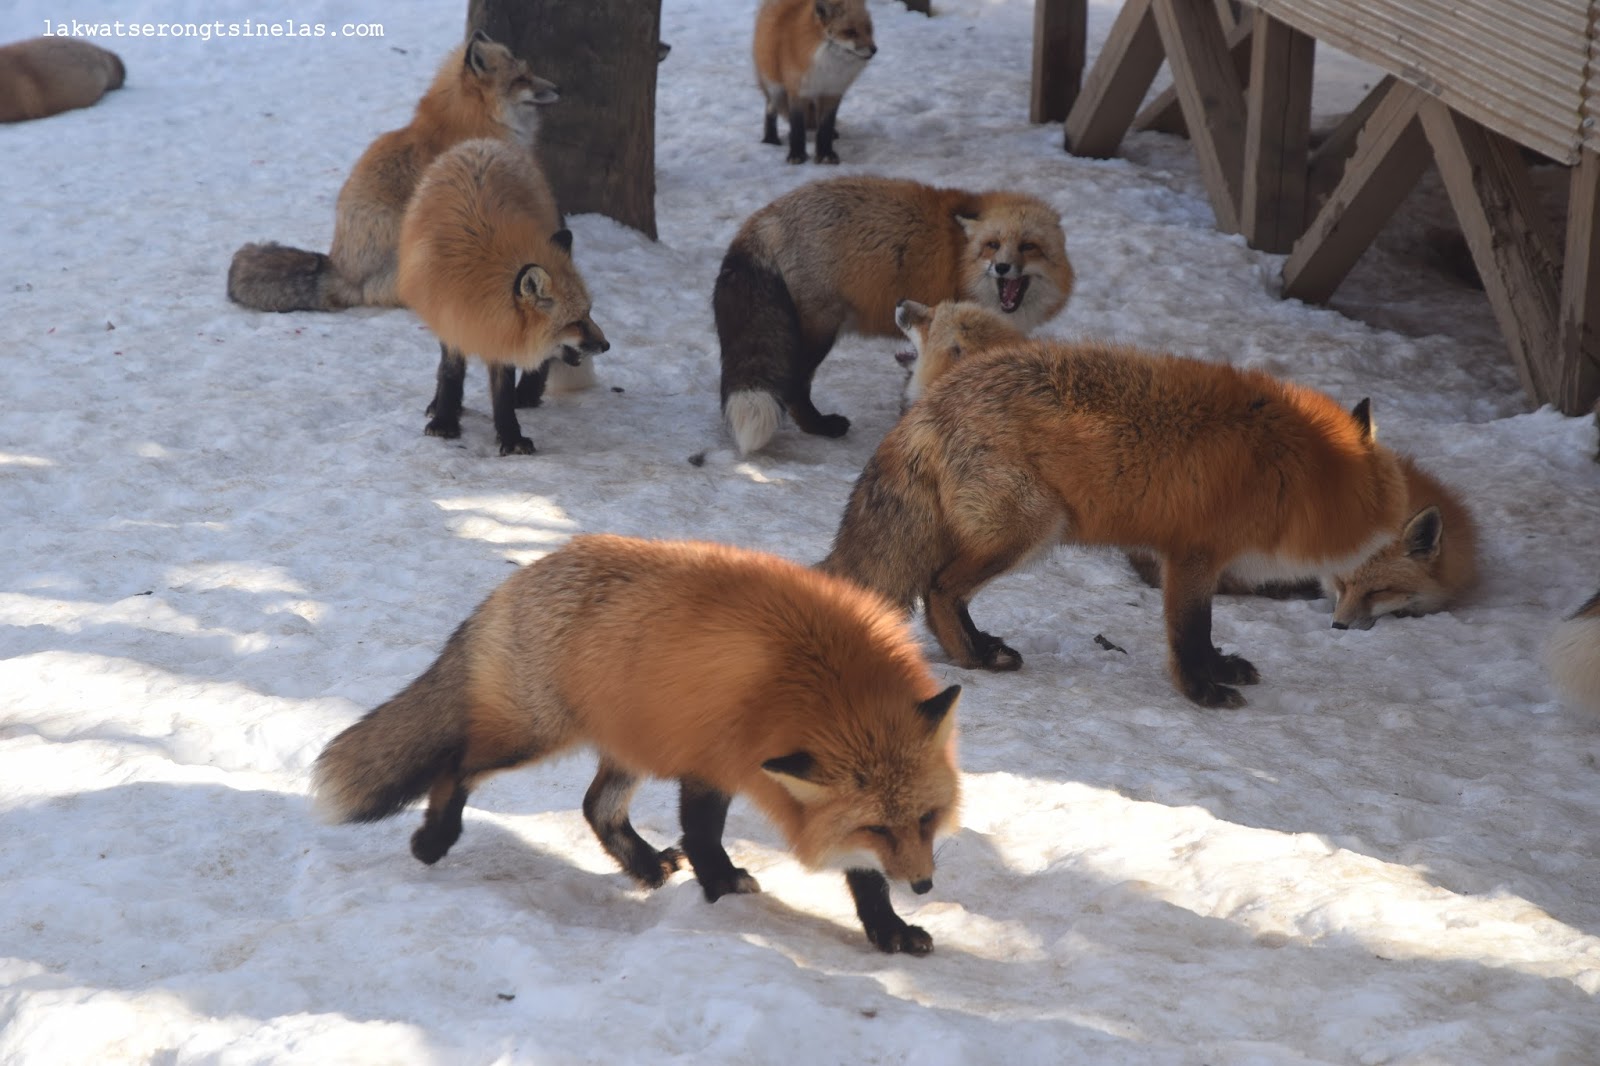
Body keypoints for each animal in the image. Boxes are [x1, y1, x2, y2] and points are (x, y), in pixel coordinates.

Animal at [312, 534, 963, 956]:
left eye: (926, 819)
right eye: (877, 827)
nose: (924, 885)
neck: (817, 681)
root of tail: (520, 577)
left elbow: (864, 876)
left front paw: (887, 928)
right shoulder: (712, 757)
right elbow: (703, 834)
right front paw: (721, 887)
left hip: (631, 744)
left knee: (594, 807)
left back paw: (646, 866)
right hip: (532, 735)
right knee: (456, 765)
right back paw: (434, 840)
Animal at [397, 138, 609, 455]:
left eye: (589, 313)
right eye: (574, 322)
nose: (606, 345)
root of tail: (482, 142)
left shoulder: (502, 331)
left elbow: (504, 392)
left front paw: (510, 436)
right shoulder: (451, 317)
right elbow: (450, 371)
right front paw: (445, 419)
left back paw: (529, 393)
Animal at [717, 175, 1074, 454]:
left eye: (1028, 247)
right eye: (993, 245)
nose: (1001, 267)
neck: (961, 261)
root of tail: (765, 216)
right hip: (819, 331)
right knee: (795, 386)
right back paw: (819, 426)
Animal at [754, 0, 877, 164]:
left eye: (869, 29)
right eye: (850, 32)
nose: (874, 49)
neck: (825, 67)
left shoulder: (832, 92)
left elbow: (825, 126)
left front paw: (826, 154)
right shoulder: (798, 91)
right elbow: (797, 126)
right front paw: (797, 155)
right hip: (776, 89)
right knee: (770, 110)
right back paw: (770, 139)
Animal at [819, 339, 1409, 707]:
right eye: (1383, 499)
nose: (1410, 530)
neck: (1281, 465)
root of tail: (927, 406)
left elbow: (1206, 635)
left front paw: (1219, 669)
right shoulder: (1191, 555)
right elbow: (1190, 632)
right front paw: (1202, 692)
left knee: (942, 592)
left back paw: (979, 646)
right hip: (1032, 526)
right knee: (938, 589)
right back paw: (974, 658)